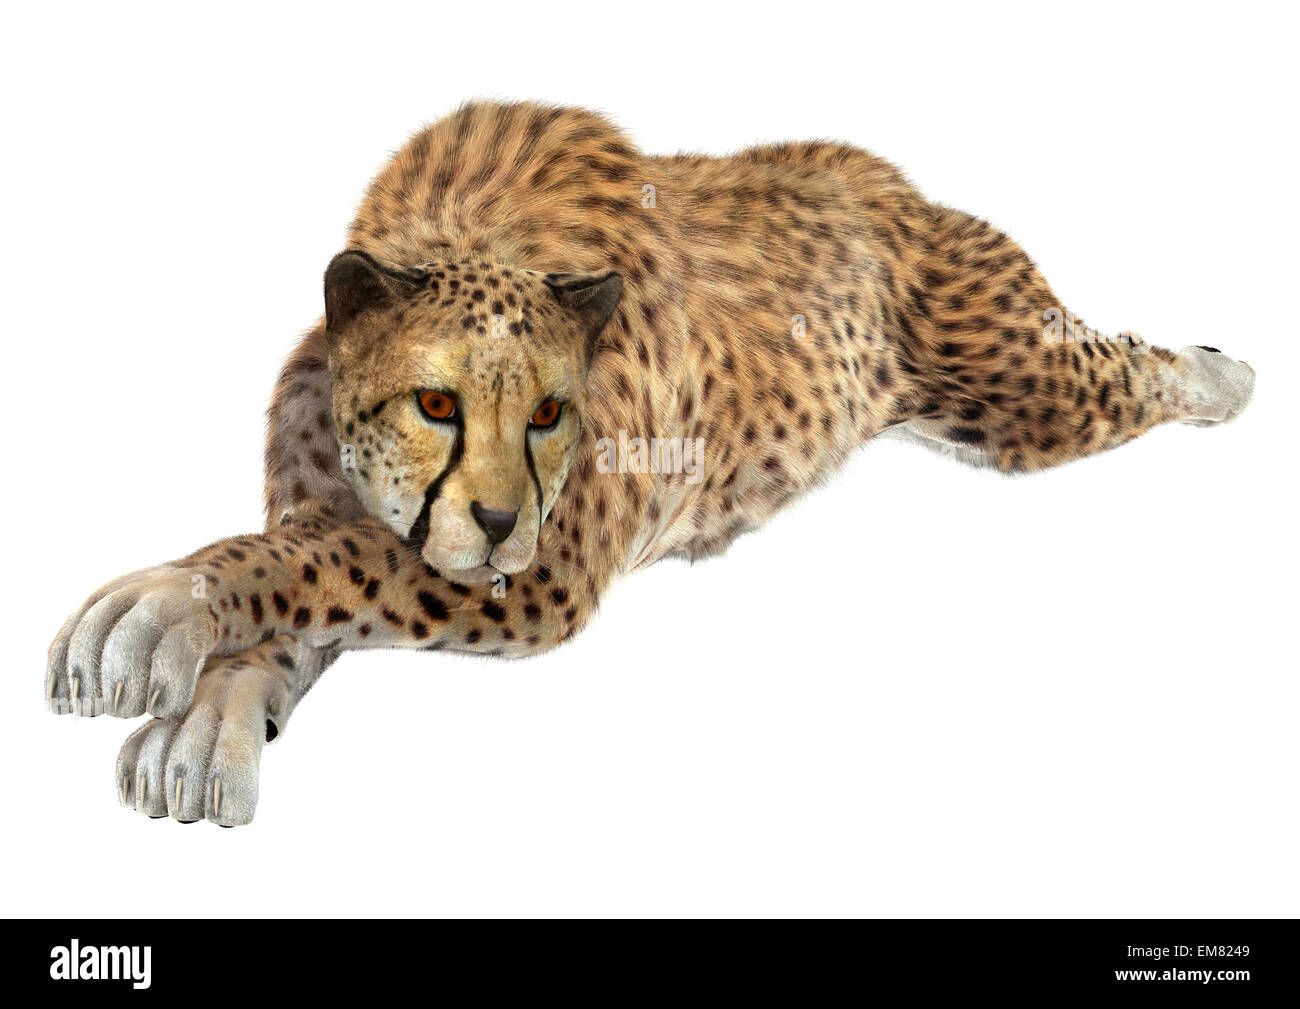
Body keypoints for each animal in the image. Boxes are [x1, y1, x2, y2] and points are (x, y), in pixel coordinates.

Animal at [46, 101, 1255, 825]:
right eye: (437, 403)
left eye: (548, 414)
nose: (495, 522)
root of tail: (875, 173)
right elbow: (306, 592)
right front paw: (212, 719)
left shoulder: (540, 574)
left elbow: (325, 566)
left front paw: (162, 607)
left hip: (1020, 394)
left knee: (1121, 370)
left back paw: (1224, 375)